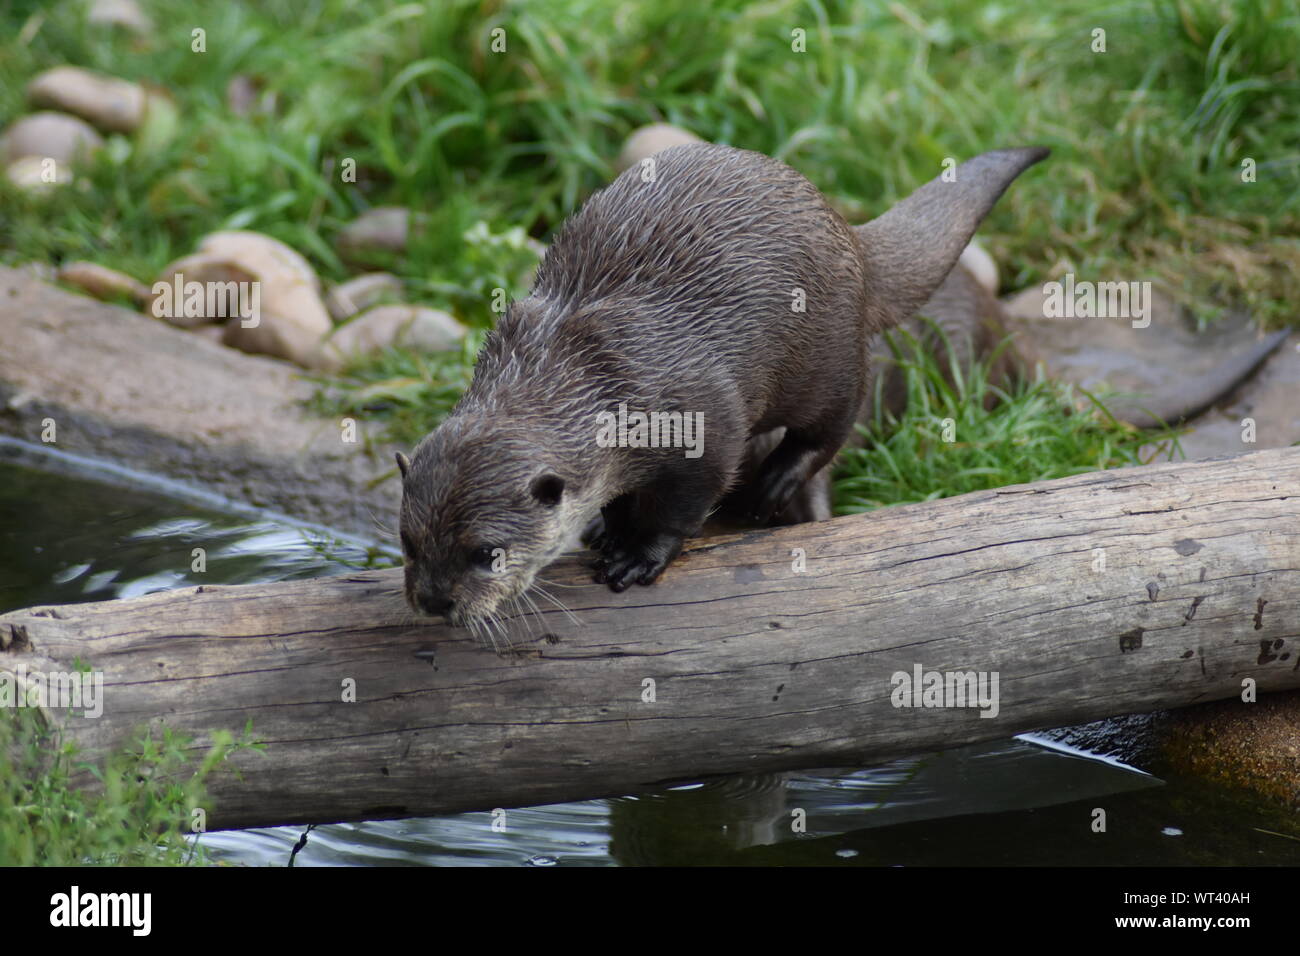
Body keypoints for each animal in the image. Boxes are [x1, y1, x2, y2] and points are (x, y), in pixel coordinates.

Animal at [396, 142, 1049, 629]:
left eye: (487, 554)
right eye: (407, 542)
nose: (434, 600)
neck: (597, 378)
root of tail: (852, 238)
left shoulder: (702, 420)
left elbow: (686, 503)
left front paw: (638, 556)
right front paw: (610, 528)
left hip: (829, 355)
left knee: (831, 427)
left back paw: (774, 486)